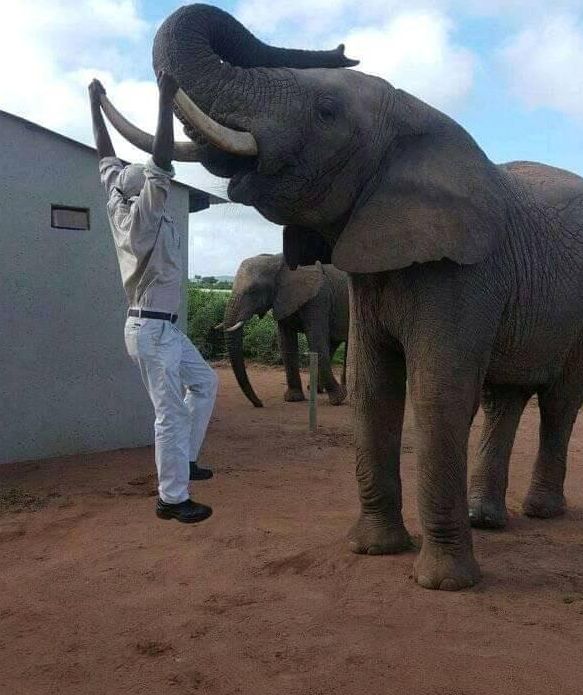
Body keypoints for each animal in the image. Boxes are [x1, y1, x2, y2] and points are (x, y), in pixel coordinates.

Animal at [219, 253, 349, 407]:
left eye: (253, 291)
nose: (260, 403)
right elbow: (287, 343)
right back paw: (316, 389)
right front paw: (294, 398)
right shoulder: (283, 300)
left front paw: (338, 399)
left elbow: (316, 340)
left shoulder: (318, 298)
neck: (278, 260)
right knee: (333, 344)